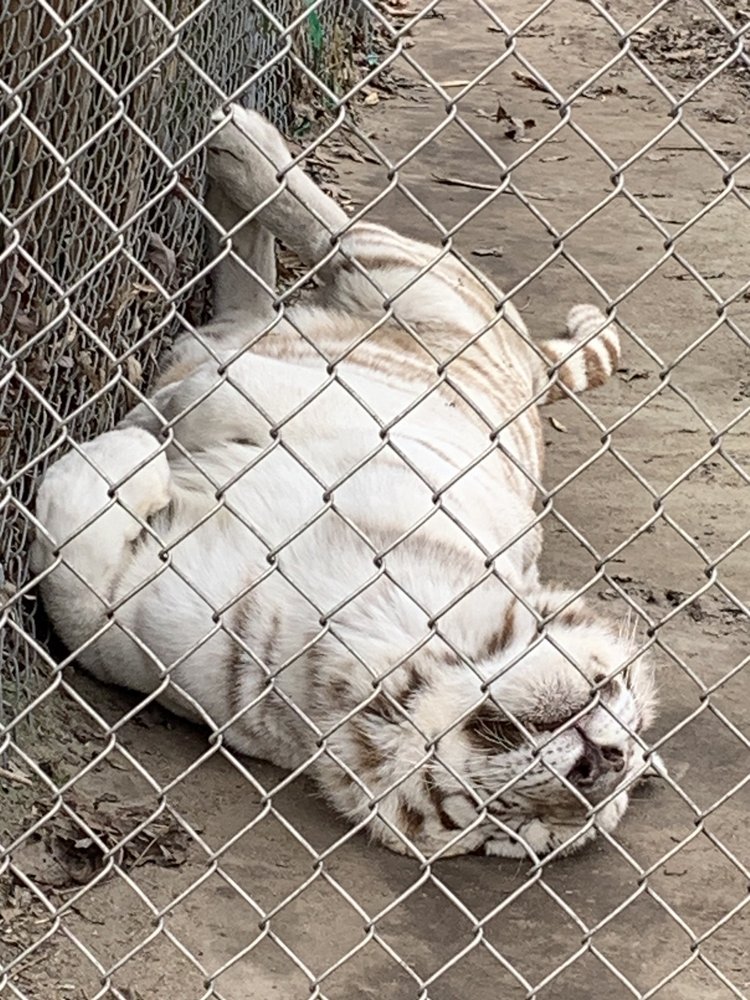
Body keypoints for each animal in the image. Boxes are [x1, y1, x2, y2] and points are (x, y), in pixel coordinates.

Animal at [30, 105, 657, 860]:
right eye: (618, 690)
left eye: (518, 834)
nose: (606, 763)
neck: (372, 656)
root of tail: (532, 370)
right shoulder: (365, 427)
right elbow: (217, 404)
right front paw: (155, 433)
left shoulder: (133, 627)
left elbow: (73, 570)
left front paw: (131, 451)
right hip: (411, 281)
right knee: (324, 232)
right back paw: (238, 142)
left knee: (253, 288)